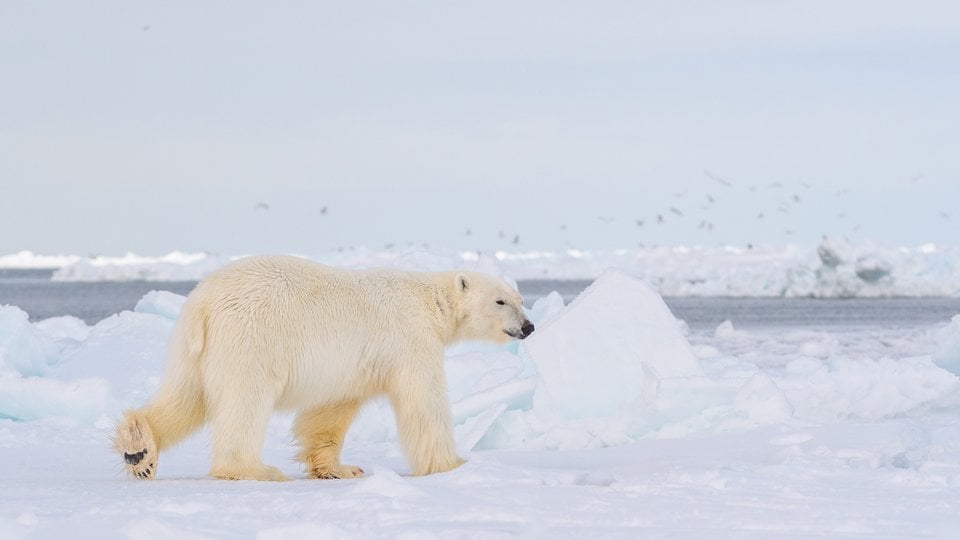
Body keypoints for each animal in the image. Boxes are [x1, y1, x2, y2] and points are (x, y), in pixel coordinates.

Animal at [113, 255, 534, 481]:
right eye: (500, 301)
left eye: (520, 298)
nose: (528, 327)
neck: (430, 302)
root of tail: (203, 300)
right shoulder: (410, 340)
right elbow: (424, 403)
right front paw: (453, 464)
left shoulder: (352, 364)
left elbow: (331, 409)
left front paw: (340, 468)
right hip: (251, 337)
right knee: (244, 401)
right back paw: (254, 469)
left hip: (194, 349)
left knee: (186, 397)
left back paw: (139, 449)